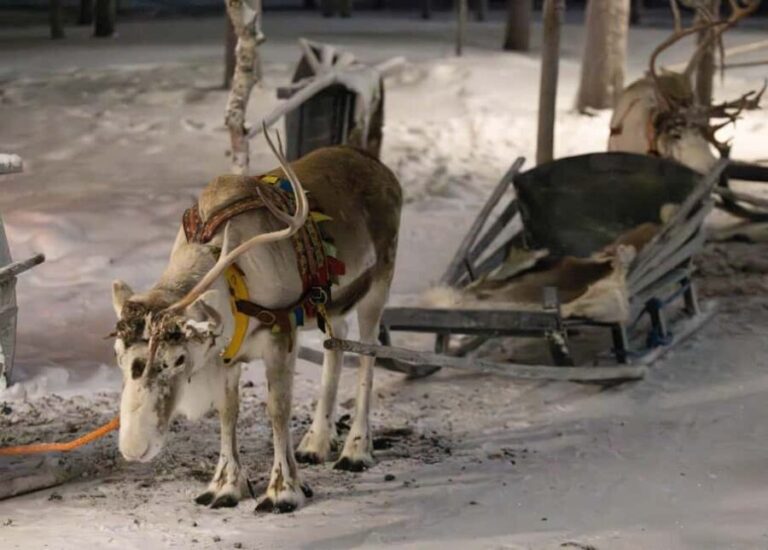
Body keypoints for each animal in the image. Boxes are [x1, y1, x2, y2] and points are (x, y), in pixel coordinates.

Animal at [110, 134, 402, 513]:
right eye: (118, 355)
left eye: (177, 359)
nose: (135, 448)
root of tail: (381, 169)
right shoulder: (226, 353)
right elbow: (227, 413)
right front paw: (225, 486)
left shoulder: (280, 335)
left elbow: (277, 410)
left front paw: (283, 491)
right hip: (333, 304)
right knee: (337, 342)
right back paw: (315, 443)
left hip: (378, 284)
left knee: (368, 354)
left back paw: (356, 451)